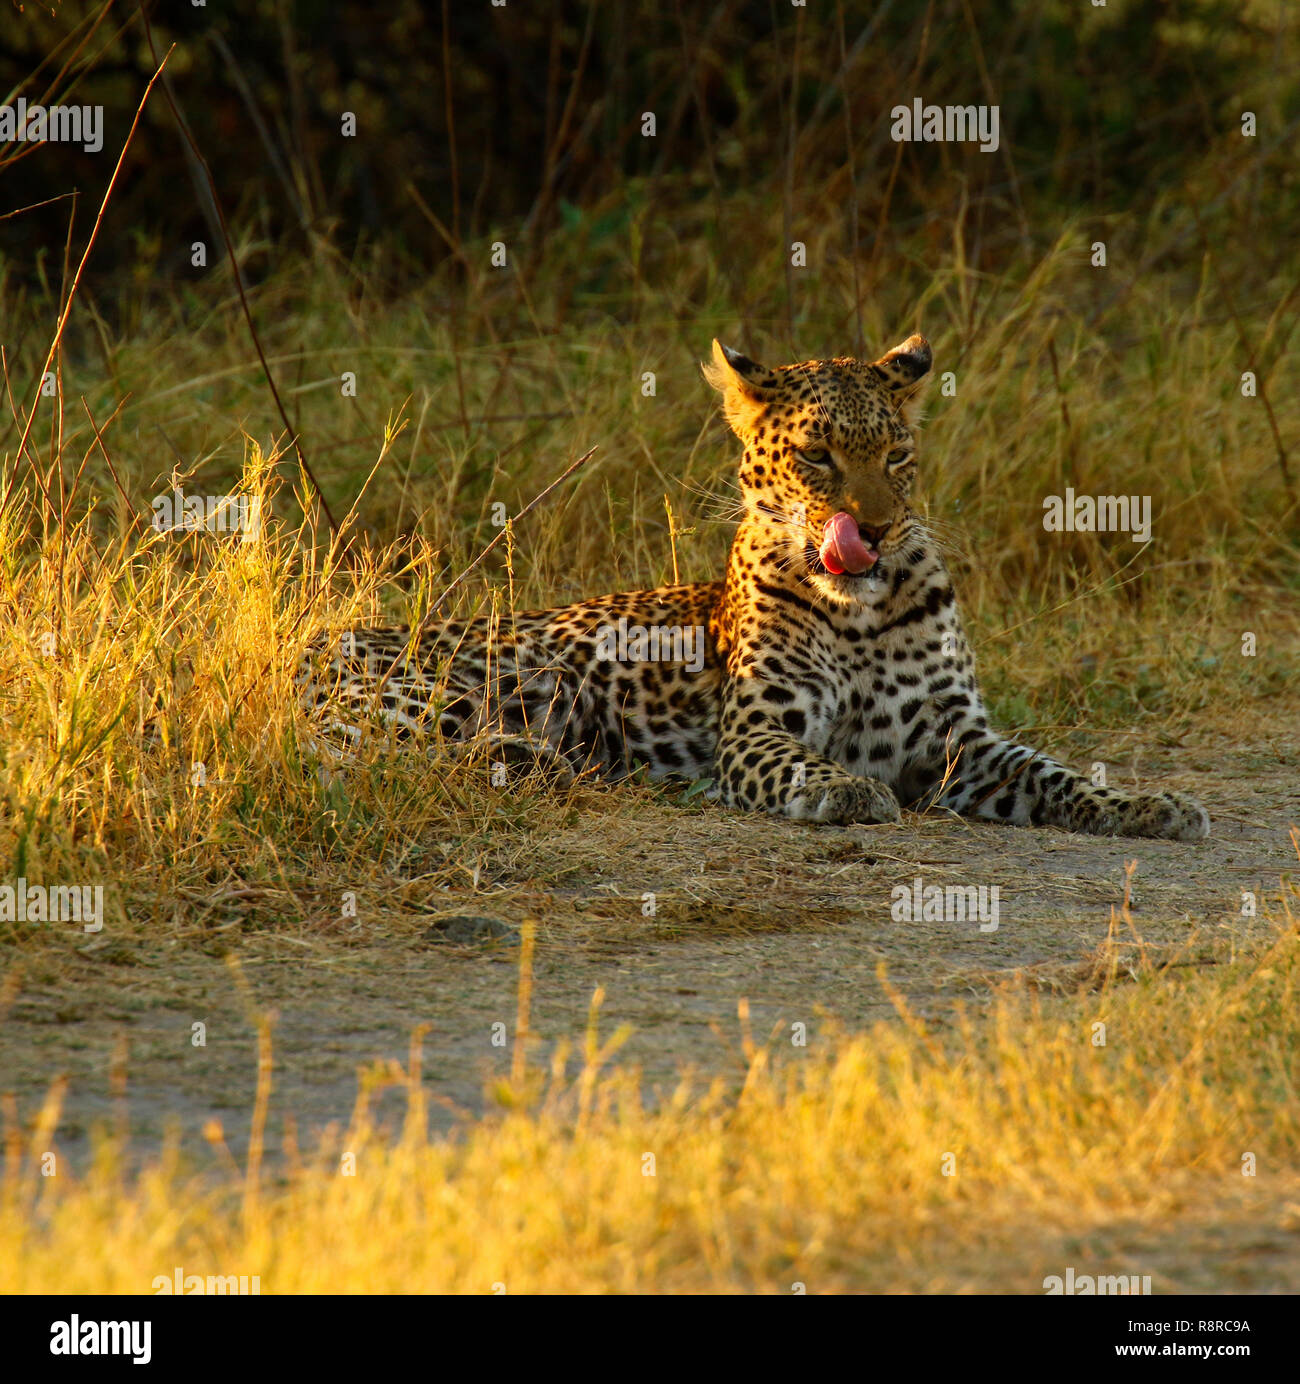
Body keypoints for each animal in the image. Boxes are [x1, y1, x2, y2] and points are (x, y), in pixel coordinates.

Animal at [297, 333, 1210, 842]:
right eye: (816, 455)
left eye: (897, 456)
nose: (875, 530)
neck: (861, 617)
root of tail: (309, 643)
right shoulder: (758, 731)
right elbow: (802, 763)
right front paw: (847, 788)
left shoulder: (957, 741)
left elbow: (1056, 774)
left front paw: (1148, 805)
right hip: (458, 685)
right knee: (360, 759)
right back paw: (524, 761)